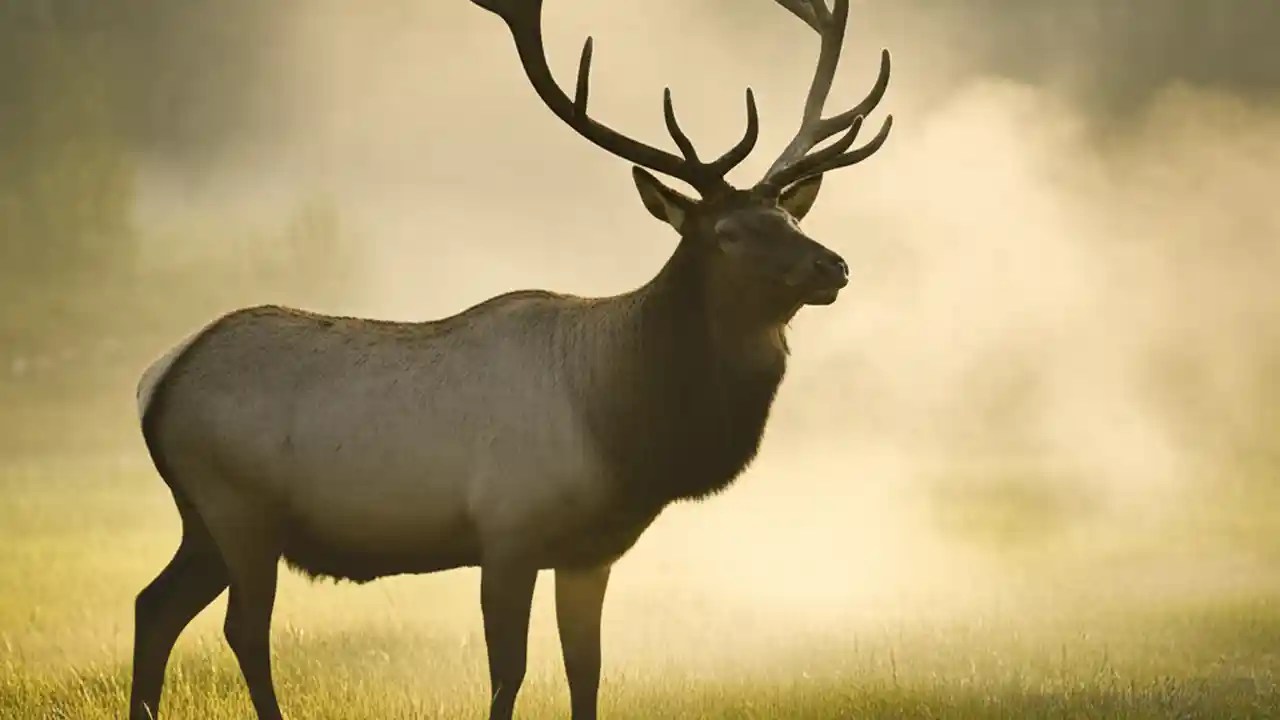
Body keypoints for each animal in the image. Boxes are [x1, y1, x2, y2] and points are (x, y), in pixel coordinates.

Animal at [126, 1, 891, 718]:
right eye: (729, 233)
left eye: (791, 217)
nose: (833, 265)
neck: (625, 427)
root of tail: (157, 379)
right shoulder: (508, 530)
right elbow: (509, 673)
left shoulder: (590, 552)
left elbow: (587, 673)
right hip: (238, 505)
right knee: (243, 631)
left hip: (205, 521)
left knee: (153, 606)